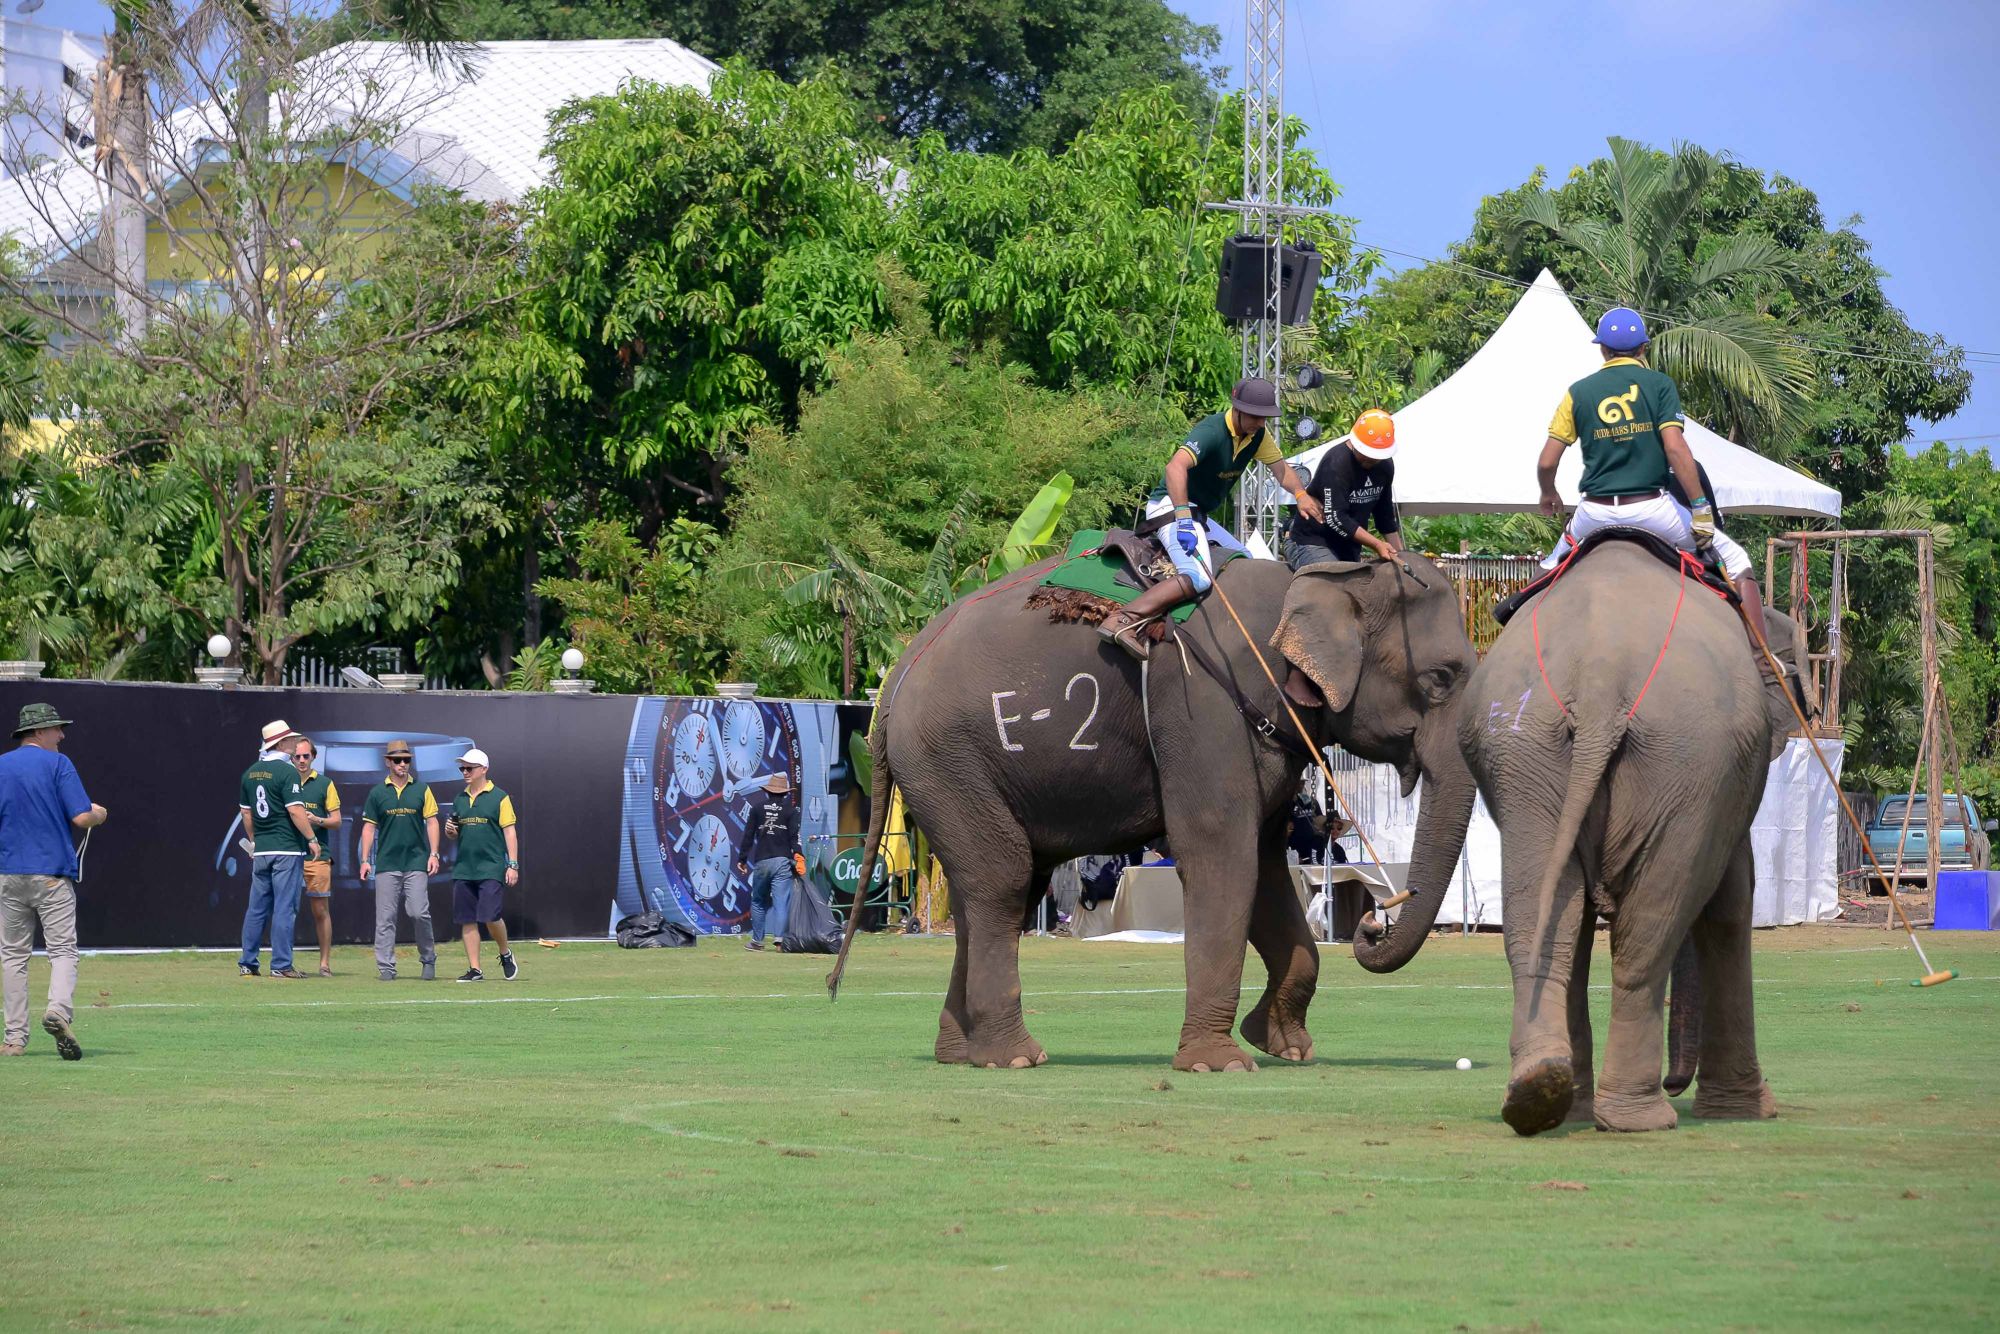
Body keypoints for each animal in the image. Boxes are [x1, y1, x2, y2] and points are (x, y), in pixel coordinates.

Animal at [832, 551, 1480, 1073]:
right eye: (1441, 677)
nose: (1374, 919)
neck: (1323, 576)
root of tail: (896, 674)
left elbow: (1268, 868)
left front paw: (1284, 1046)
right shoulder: (1204, 710)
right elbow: (1222, 856)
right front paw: (1221, 1064)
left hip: (948, 774)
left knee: (985, 890)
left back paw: (960, 1054)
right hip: (948, 758)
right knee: (1002, 880)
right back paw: (1014, 1058)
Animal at [1459, 539, 1802, 1134]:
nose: (1676, 1079)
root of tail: (1600, 680)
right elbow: (1732, 903)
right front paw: (1749, 1110)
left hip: (1524, 752)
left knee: (1542, 913)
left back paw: (1539, 1095)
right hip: (1689, 761)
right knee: (1652, 929)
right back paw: (1638, 1118)